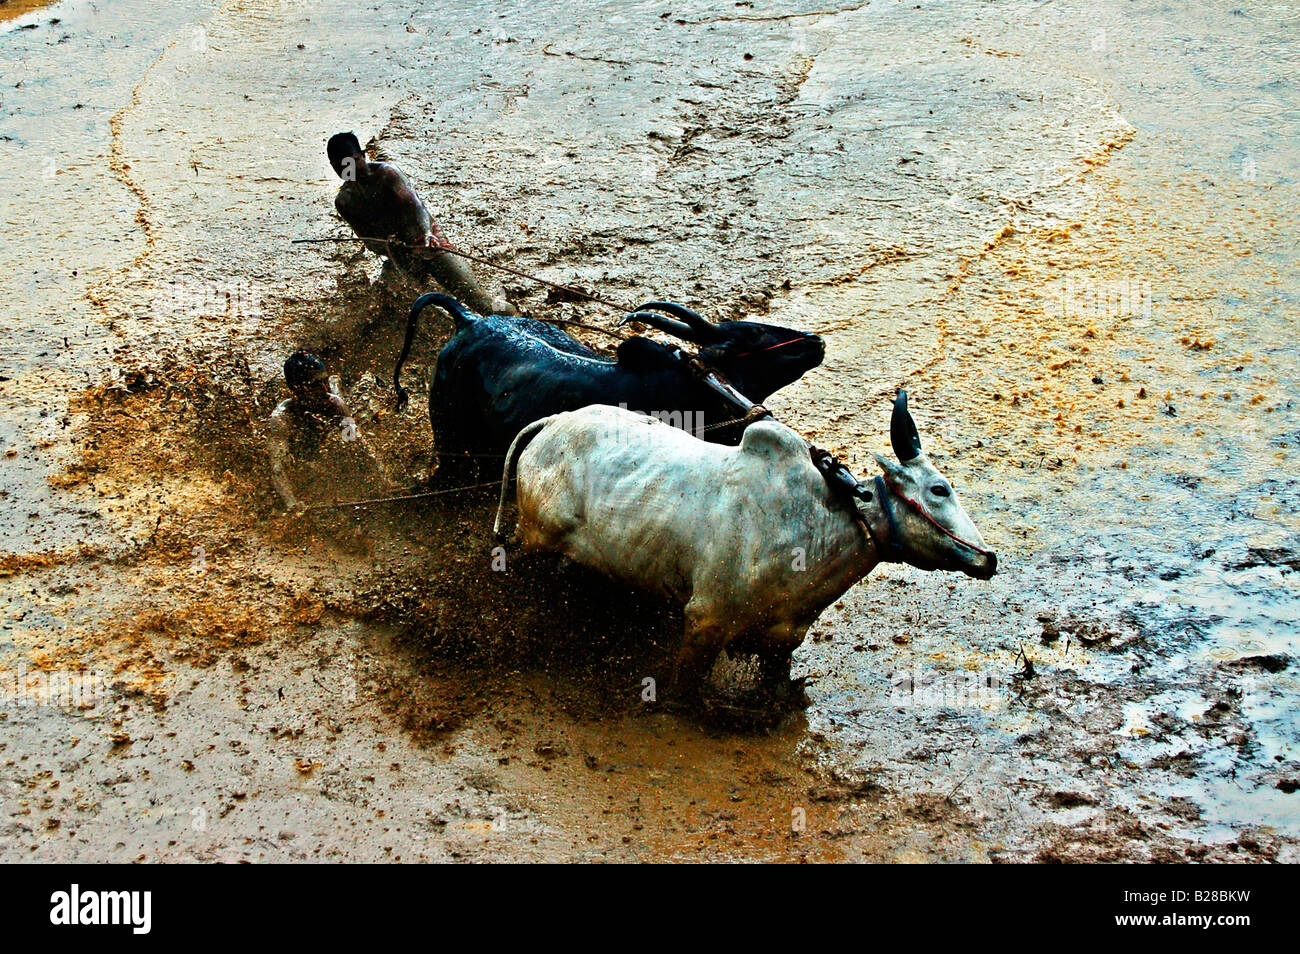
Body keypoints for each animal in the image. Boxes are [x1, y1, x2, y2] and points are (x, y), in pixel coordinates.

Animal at [493, 391, 996, 707]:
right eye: (938, 489)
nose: (989, 558)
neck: (818, 524)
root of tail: (553, 424)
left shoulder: (782, 640)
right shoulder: (705, 622)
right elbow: (684, 697)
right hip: (531, 539)